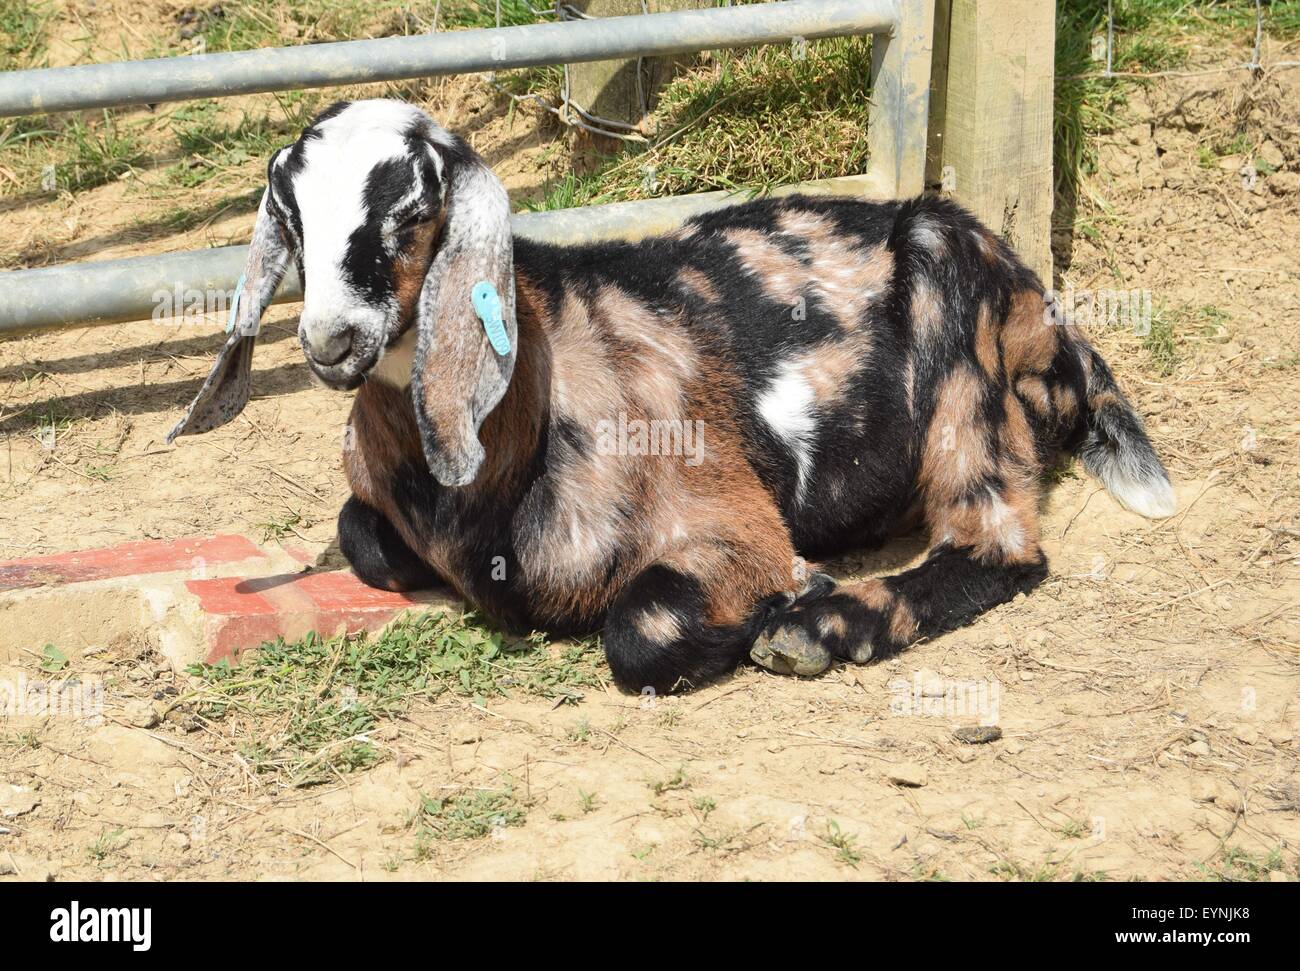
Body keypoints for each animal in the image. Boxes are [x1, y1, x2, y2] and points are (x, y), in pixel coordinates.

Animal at [170, 99, 1176, 693]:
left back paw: (822, 627)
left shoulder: (730, 523)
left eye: (413, 208)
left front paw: (786, 604)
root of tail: (1052, 325)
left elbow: (640, 630)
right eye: (290, 214)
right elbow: (361, 536)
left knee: (999, 545)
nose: (330, 342)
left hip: (958, 333)